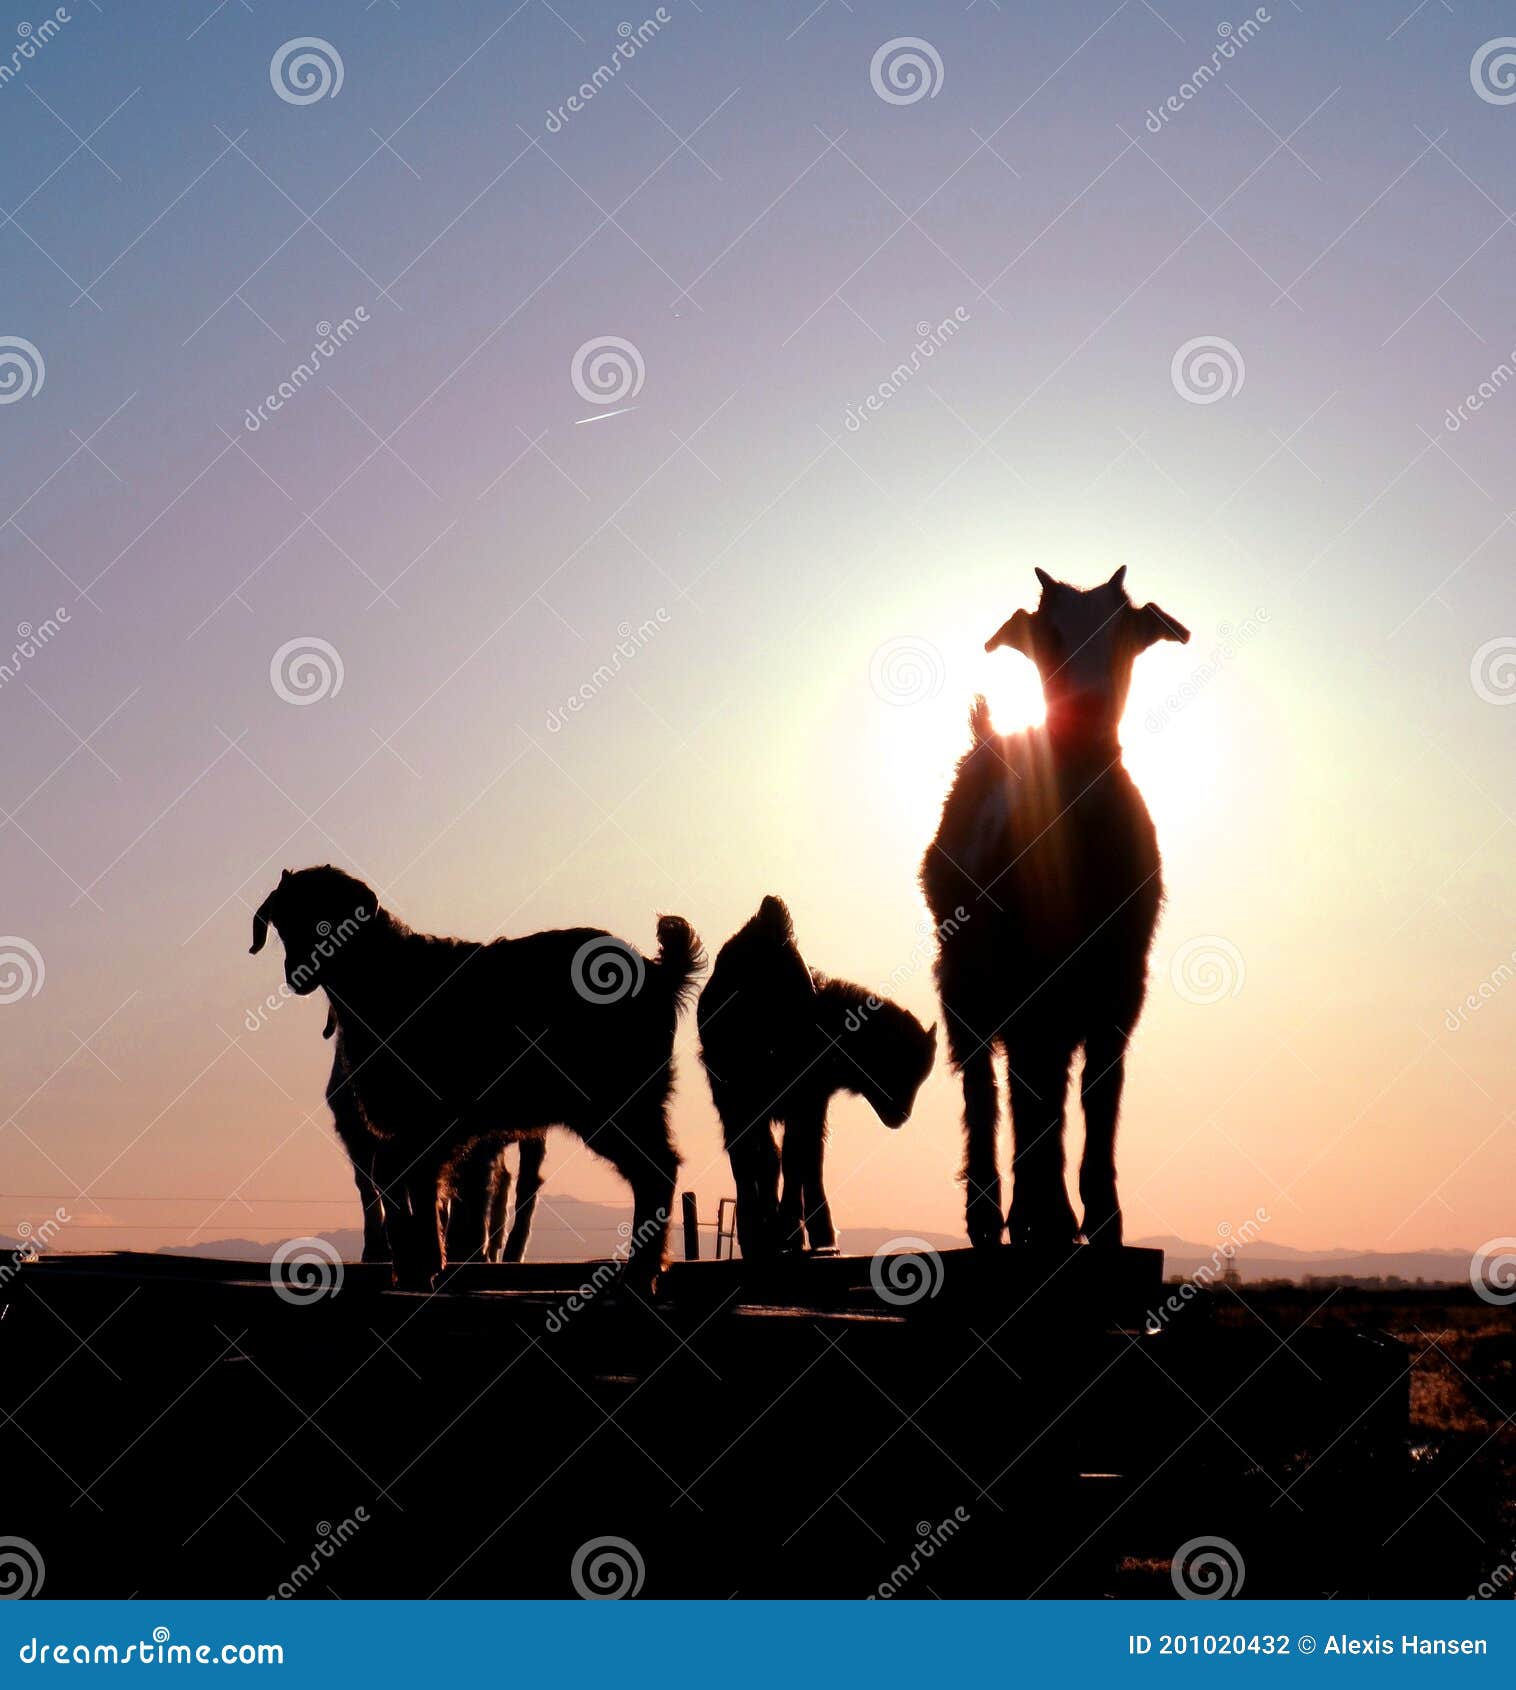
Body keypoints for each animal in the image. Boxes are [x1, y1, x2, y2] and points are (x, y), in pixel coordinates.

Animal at [250, 866, 702, 1291]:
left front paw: (421, 1264)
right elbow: (409, 1183)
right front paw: (419, 1266)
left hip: (615, 1099)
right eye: (283, 923)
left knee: (656, 1169)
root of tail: (661, 974)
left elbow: (407, 1178)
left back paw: (641, 1271)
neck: (387, 976)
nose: (297, 974)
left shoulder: (430, 1116)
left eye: (325, 919)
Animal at [698, 896, 937, 1259]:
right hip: (733, 1097)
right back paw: (760, 1232)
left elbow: (803, 1156)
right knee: (751, 1154)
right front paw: (783, 1233)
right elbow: (776, 1156)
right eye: (897, 1065)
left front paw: (811, 1234)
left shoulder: (811, 1101)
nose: (901, 1116)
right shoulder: (761, 1100)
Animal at [920, 567, 1189, 1249]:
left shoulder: (1121, 981)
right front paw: (1046, 1216)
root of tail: (990, 738)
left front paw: (1102, 1218)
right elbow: (1029, 1093)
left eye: (1124, 632)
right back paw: (992, 1213)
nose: (1083, 714)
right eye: (1046, 635)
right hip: (964, 975)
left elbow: (1098, 1088)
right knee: (987, 1080)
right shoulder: (1027, 982)